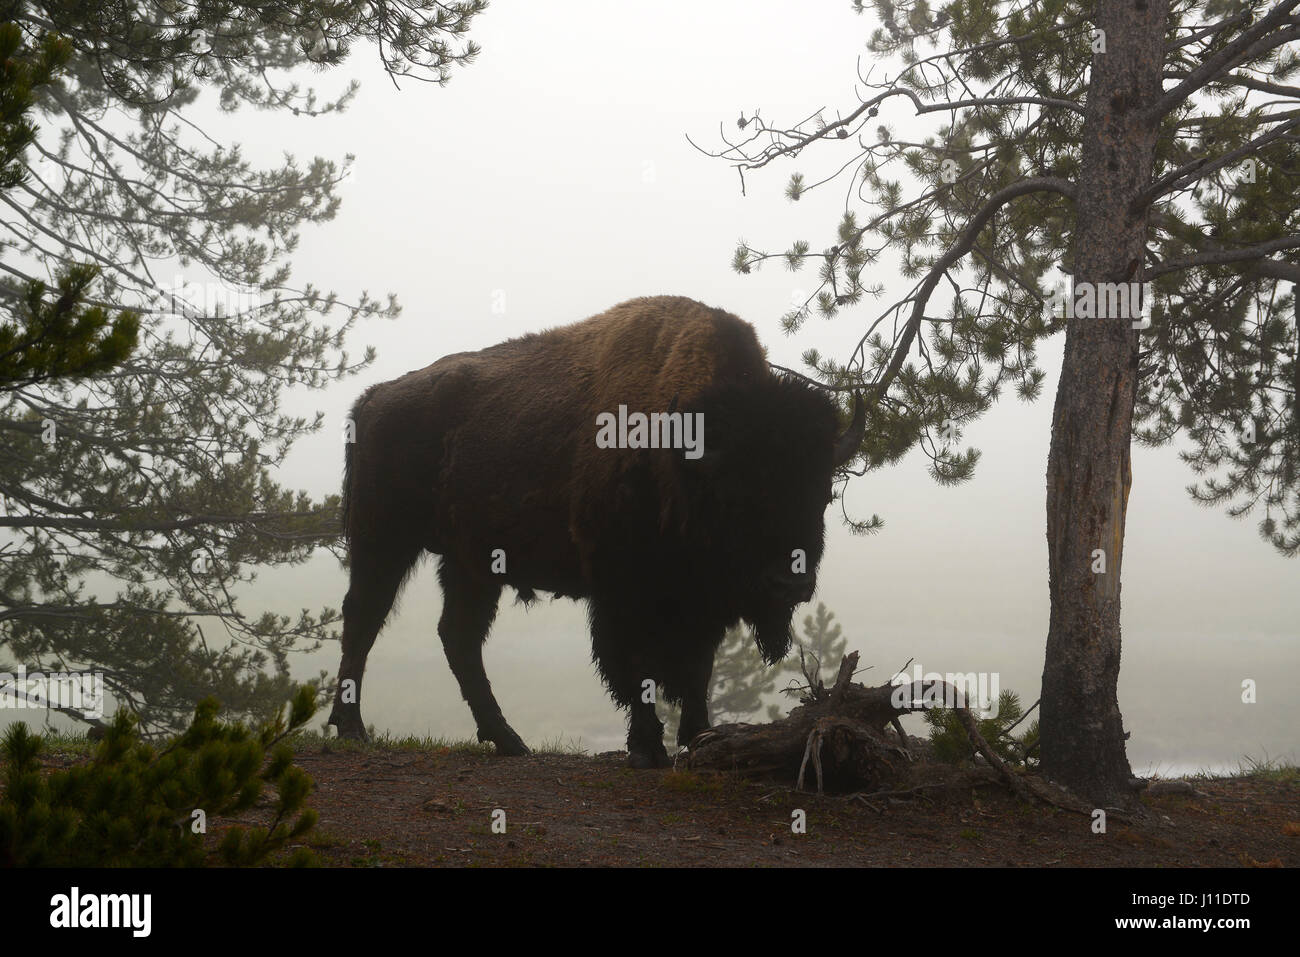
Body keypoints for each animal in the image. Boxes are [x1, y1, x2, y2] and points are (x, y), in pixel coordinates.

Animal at [328, 295, 863, 768]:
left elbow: (698, 668)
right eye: (737, 497)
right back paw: (352, 728)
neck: (679, 455)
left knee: (458, 637)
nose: (790, 582)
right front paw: (646, 749)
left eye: (821, 495)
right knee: (364, 618)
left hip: (469, 563)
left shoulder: (700, 604)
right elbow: (635, 669)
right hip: (383, 538)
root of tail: (374, 399)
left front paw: (699, 738)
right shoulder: (621, 591)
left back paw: (509, 741)